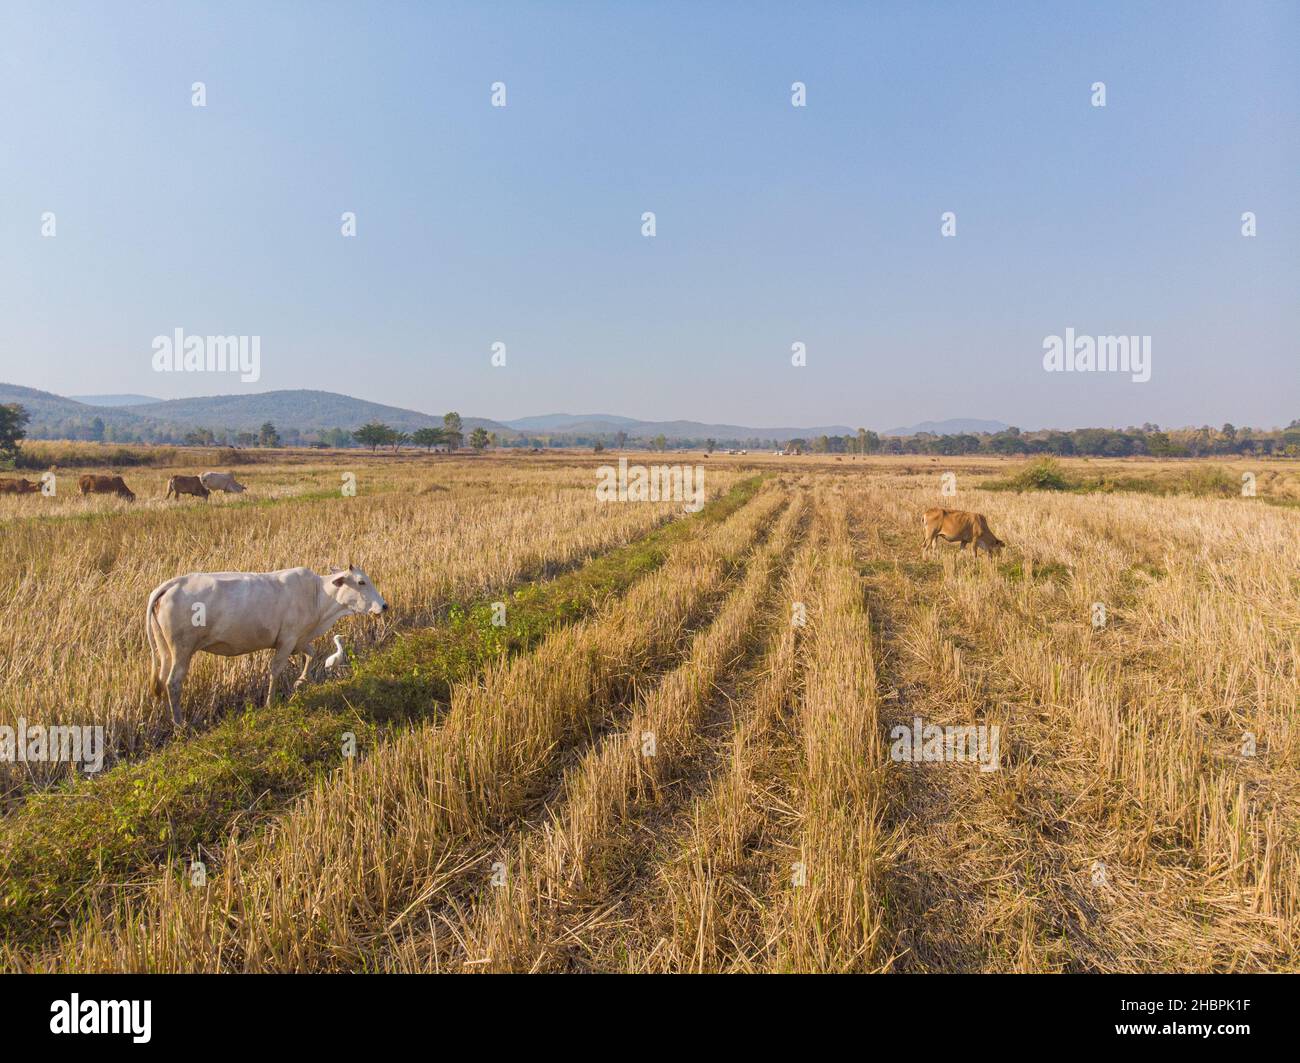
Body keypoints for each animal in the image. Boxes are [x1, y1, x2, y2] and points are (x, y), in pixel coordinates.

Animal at [146, 565, 387, 725]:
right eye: (361, 582)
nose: (385, 605)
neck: (319, 595)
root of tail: (170, 584)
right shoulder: (287, 639)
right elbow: (275, 670)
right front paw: (270, 702)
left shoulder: (299, 639)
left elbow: (311, 653)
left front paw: (300, 681)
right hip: (183, 651)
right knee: (173, 683)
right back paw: (179, 723)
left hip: (166, 650)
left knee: (162, 681)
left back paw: (163, 717)